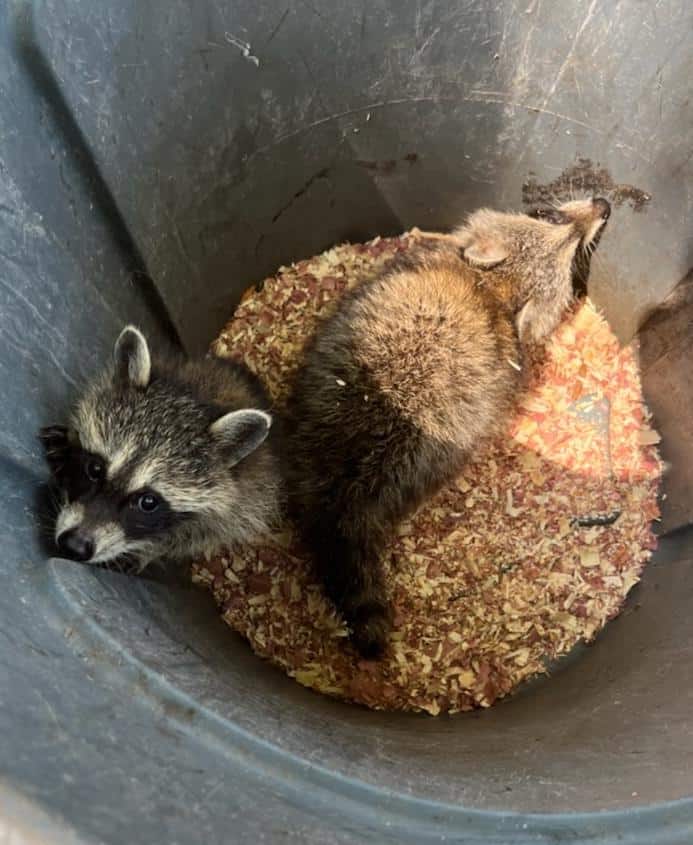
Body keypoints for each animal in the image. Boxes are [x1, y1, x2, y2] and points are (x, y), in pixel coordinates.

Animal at [40, 326, 282, 569]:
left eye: (148, 502)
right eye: (95, 469)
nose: (75, 546)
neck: (193, 395)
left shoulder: (240, 504)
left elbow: (191, 538)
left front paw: (141, 553)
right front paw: (68, 441)